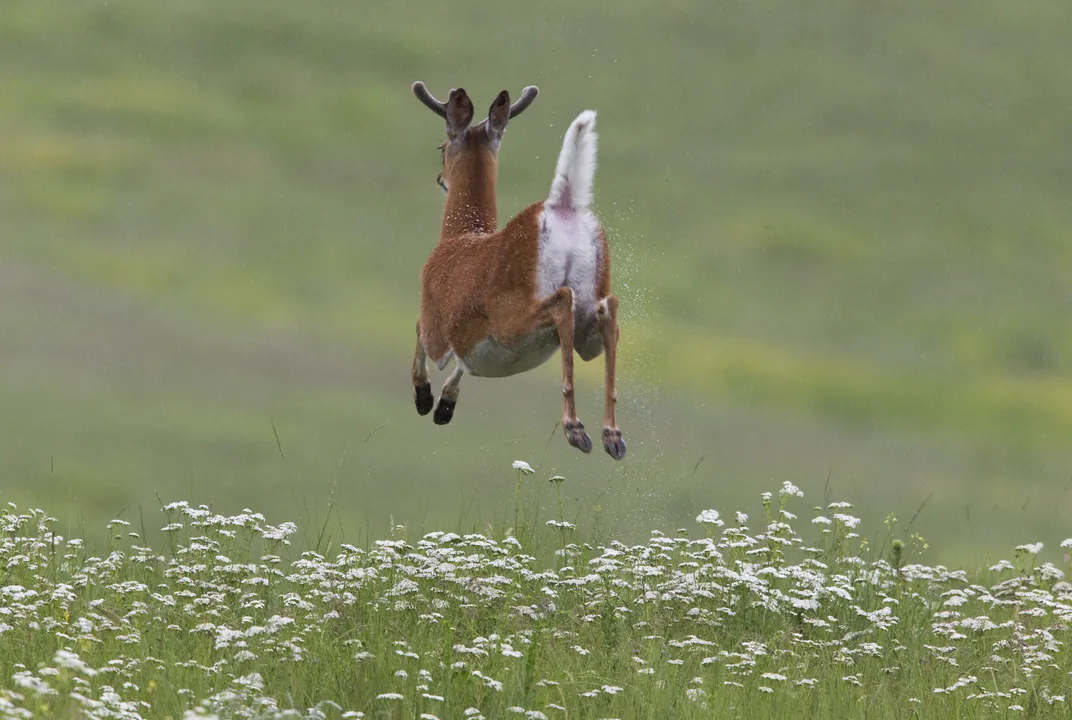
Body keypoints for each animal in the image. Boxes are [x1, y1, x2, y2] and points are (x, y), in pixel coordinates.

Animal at [409, 81, 626, 460]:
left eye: (441, 147)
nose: (440, 178)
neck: (459, 235)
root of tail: (562, 206)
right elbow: (463, 365)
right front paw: (444, 406)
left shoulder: (437, 323)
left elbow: (420, 332)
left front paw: (425, 398)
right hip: (590, 311)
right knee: (608, 308)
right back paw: (611, 435)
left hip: (512, 319)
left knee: (563, 303)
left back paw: (575, 428)